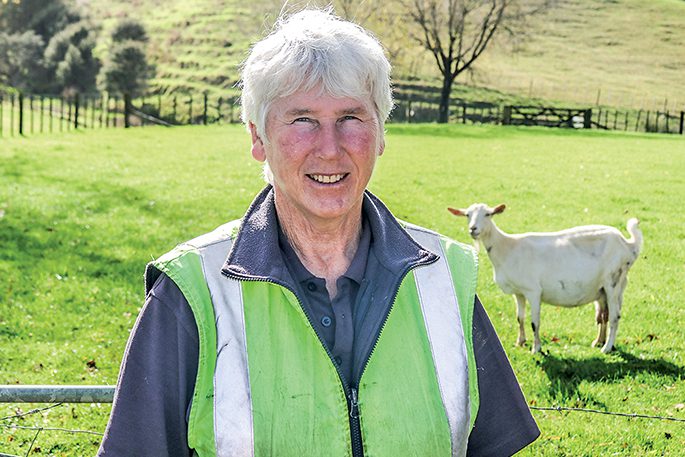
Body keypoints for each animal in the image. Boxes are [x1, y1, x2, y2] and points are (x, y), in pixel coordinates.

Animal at [448, 203, 643, 354]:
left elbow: (535, 322)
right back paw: (599, 341)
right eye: (467, 215)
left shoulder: (533, 290)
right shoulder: (519, 292)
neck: (506, 247)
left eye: (488, 214)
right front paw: (520, 342)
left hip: (613, 281)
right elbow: (520, 318)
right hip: (604, 288)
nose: (473, 229)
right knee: (604, 315)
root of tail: (628, 245)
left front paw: (536, 348)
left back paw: (607, 347)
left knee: (615, 316)